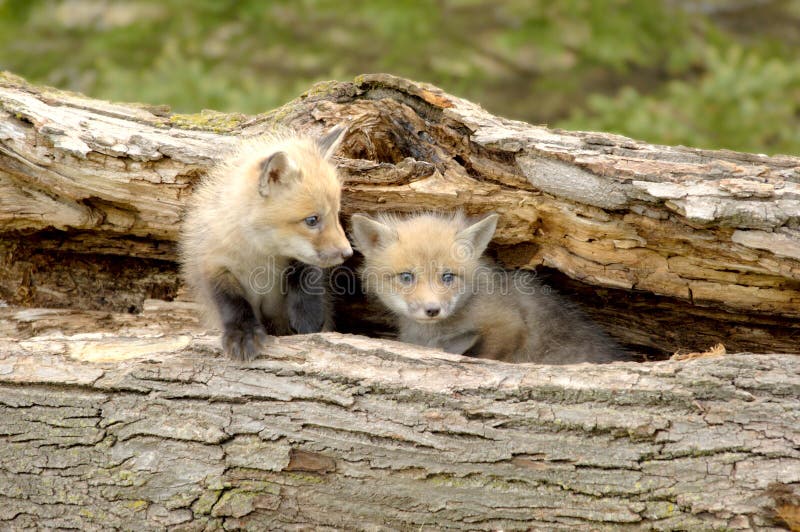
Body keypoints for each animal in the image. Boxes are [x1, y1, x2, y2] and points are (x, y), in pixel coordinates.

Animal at [180, 126, 352, 361]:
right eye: (312, 220)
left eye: (336, 214)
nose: (348, 253)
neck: (262, 257)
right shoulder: (214, 265)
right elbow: (232, 303)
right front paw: (243, 333)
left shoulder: (298, 262)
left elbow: (308, 277)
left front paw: (308, 319)